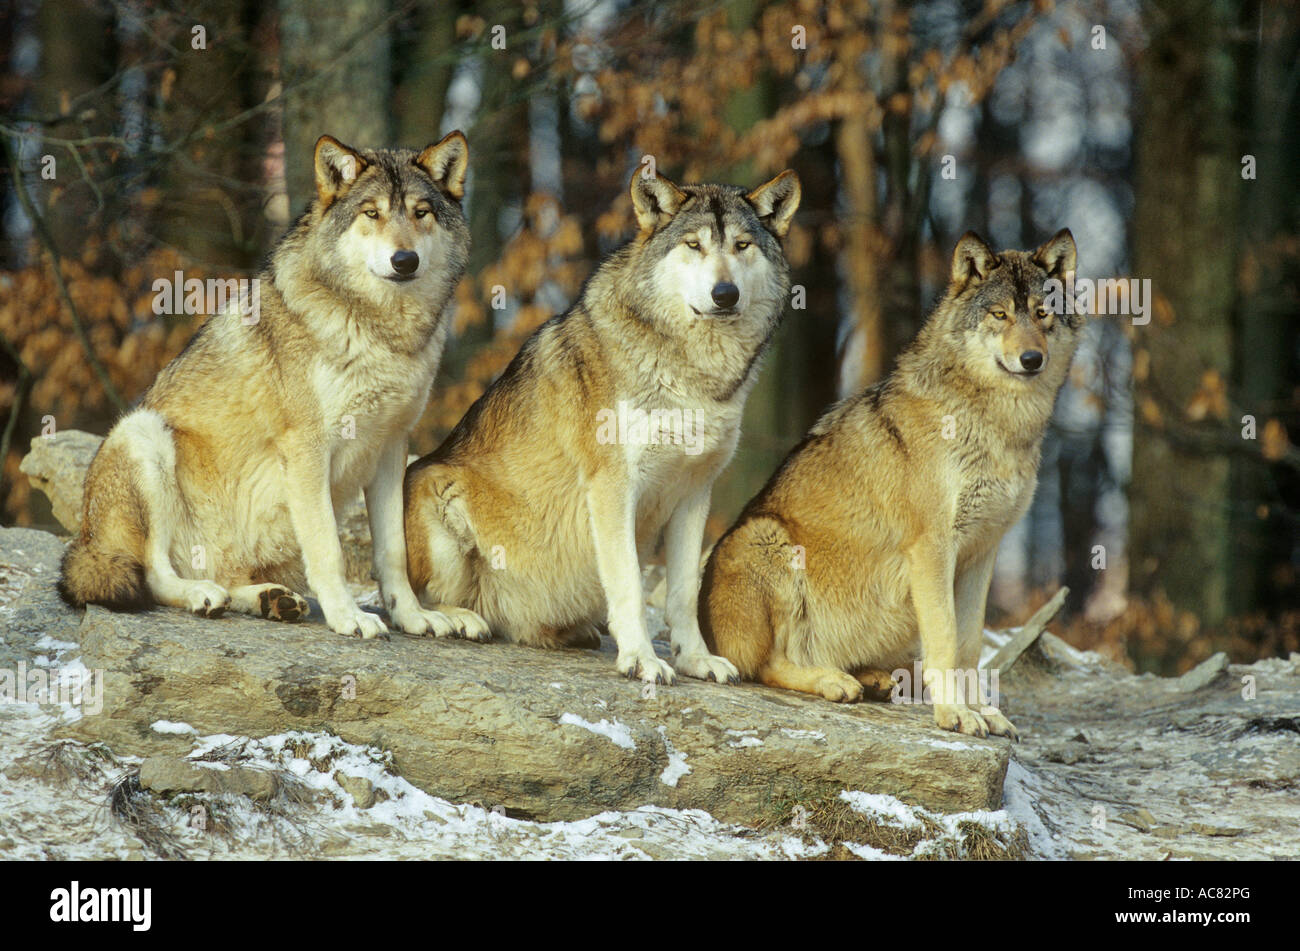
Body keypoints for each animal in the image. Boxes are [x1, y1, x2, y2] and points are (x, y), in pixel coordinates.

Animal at [59, 131, 486, 640]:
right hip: (143, 433)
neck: (382, 333)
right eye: (372, 213)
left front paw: (414, 617)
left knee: (229, 579)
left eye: (421, 212)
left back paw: (271, 600)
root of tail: (86, 539)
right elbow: (329, 549)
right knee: (154, 574)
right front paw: (349, 617)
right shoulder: (308, 448)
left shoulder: (391, 446)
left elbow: (393, 551)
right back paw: (202, 595)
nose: (405, 260)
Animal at [404, 167, 802, 683]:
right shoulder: (612, 487)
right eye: (693, 245)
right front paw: (642, 660)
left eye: (742, 245)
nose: (725, 294)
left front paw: (696, 660)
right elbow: (630, 583)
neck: (694, 380)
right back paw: (454, 619)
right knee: (414, 597)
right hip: (435, 482)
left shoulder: (695, 493)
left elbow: (683, 593)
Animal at [700, 230, 1083, 738]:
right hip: (765, 537)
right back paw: (833, 681)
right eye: (999, 315)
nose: (1032, 359)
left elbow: (969, 645)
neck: (997, 426)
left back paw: (871, 679)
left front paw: (983, 711)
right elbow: (945, 639)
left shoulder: (983, 553)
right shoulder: (933, 549)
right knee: (767, 665)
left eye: (1042, 313)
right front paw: (955, 713)